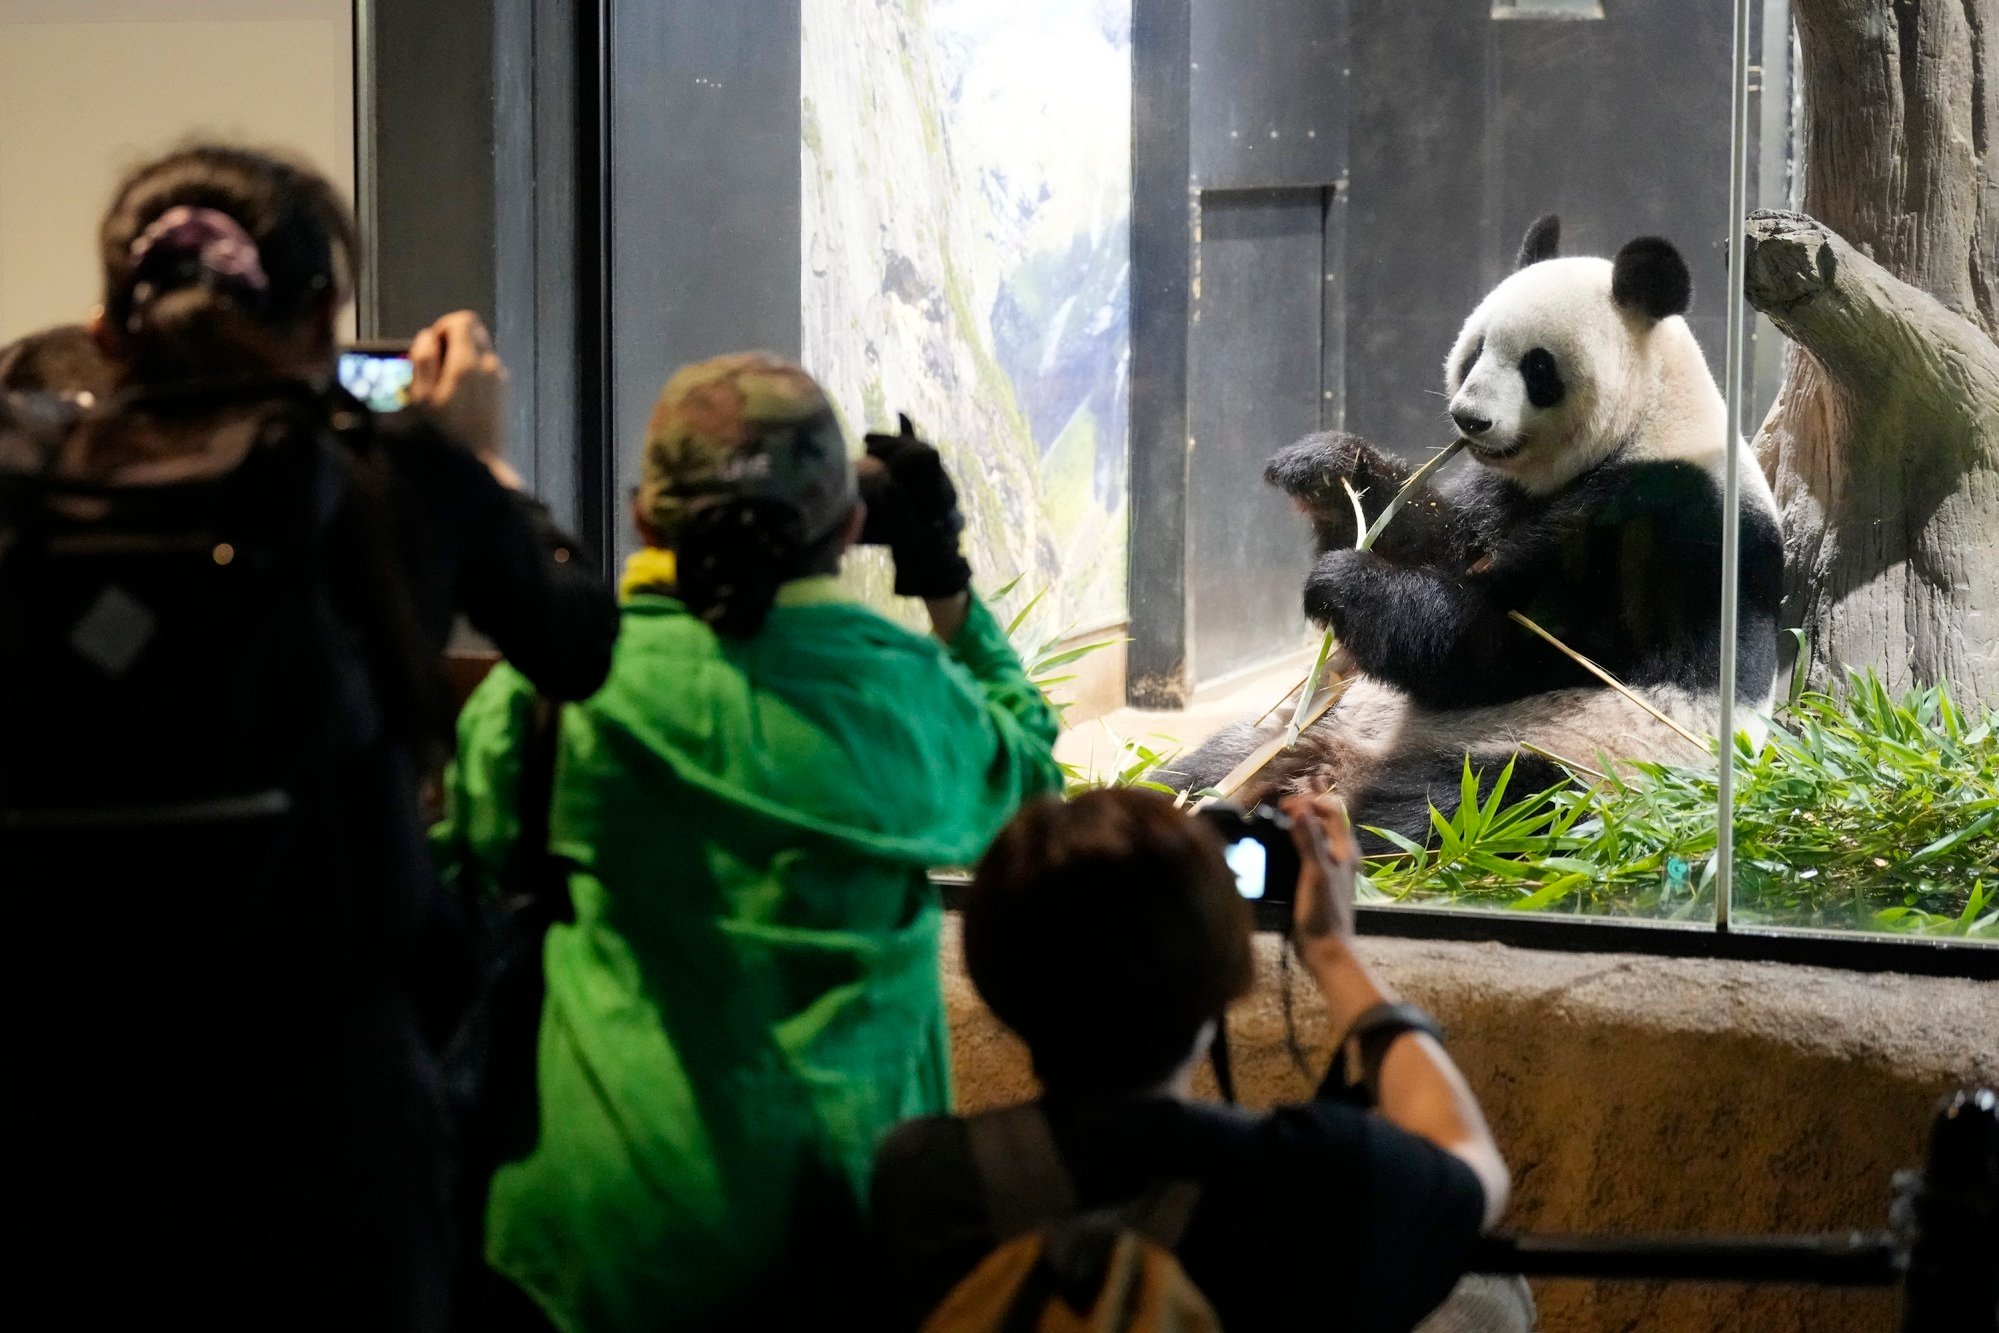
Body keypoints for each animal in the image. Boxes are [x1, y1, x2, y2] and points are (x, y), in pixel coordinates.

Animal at [1170, 216, 1785, 846]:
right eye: (1475, 352)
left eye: (1538, 367)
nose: (1469, 419)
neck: (1651, 421)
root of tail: (1332, 768)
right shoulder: (1504, 493)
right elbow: (1443, 541)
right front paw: (1326, 469)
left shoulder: (1666, 528)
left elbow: (1511, 645)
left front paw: (1347, 584)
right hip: (1313, 721)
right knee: (1210, 764)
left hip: (1571, 760)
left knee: (1464, 806)